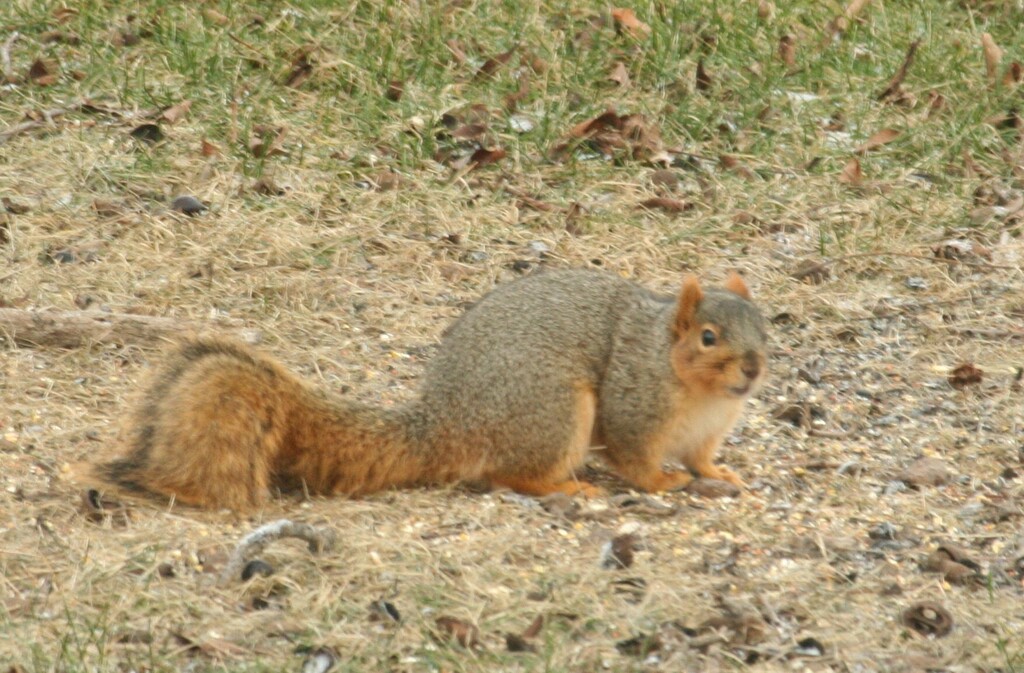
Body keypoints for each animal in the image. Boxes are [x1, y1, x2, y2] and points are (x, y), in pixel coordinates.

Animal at [94, 269, 767, 512]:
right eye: (708, 336)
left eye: (768, 325)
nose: (754, 368)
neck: (703, 398)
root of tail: (445, 423)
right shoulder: (634, 404)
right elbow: (634, 457)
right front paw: (663, 481)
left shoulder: (706, 432)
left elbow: (704, 458)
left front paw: (721, 475)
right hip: (554, 409)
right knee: (510, 473)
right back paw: (565, 486)